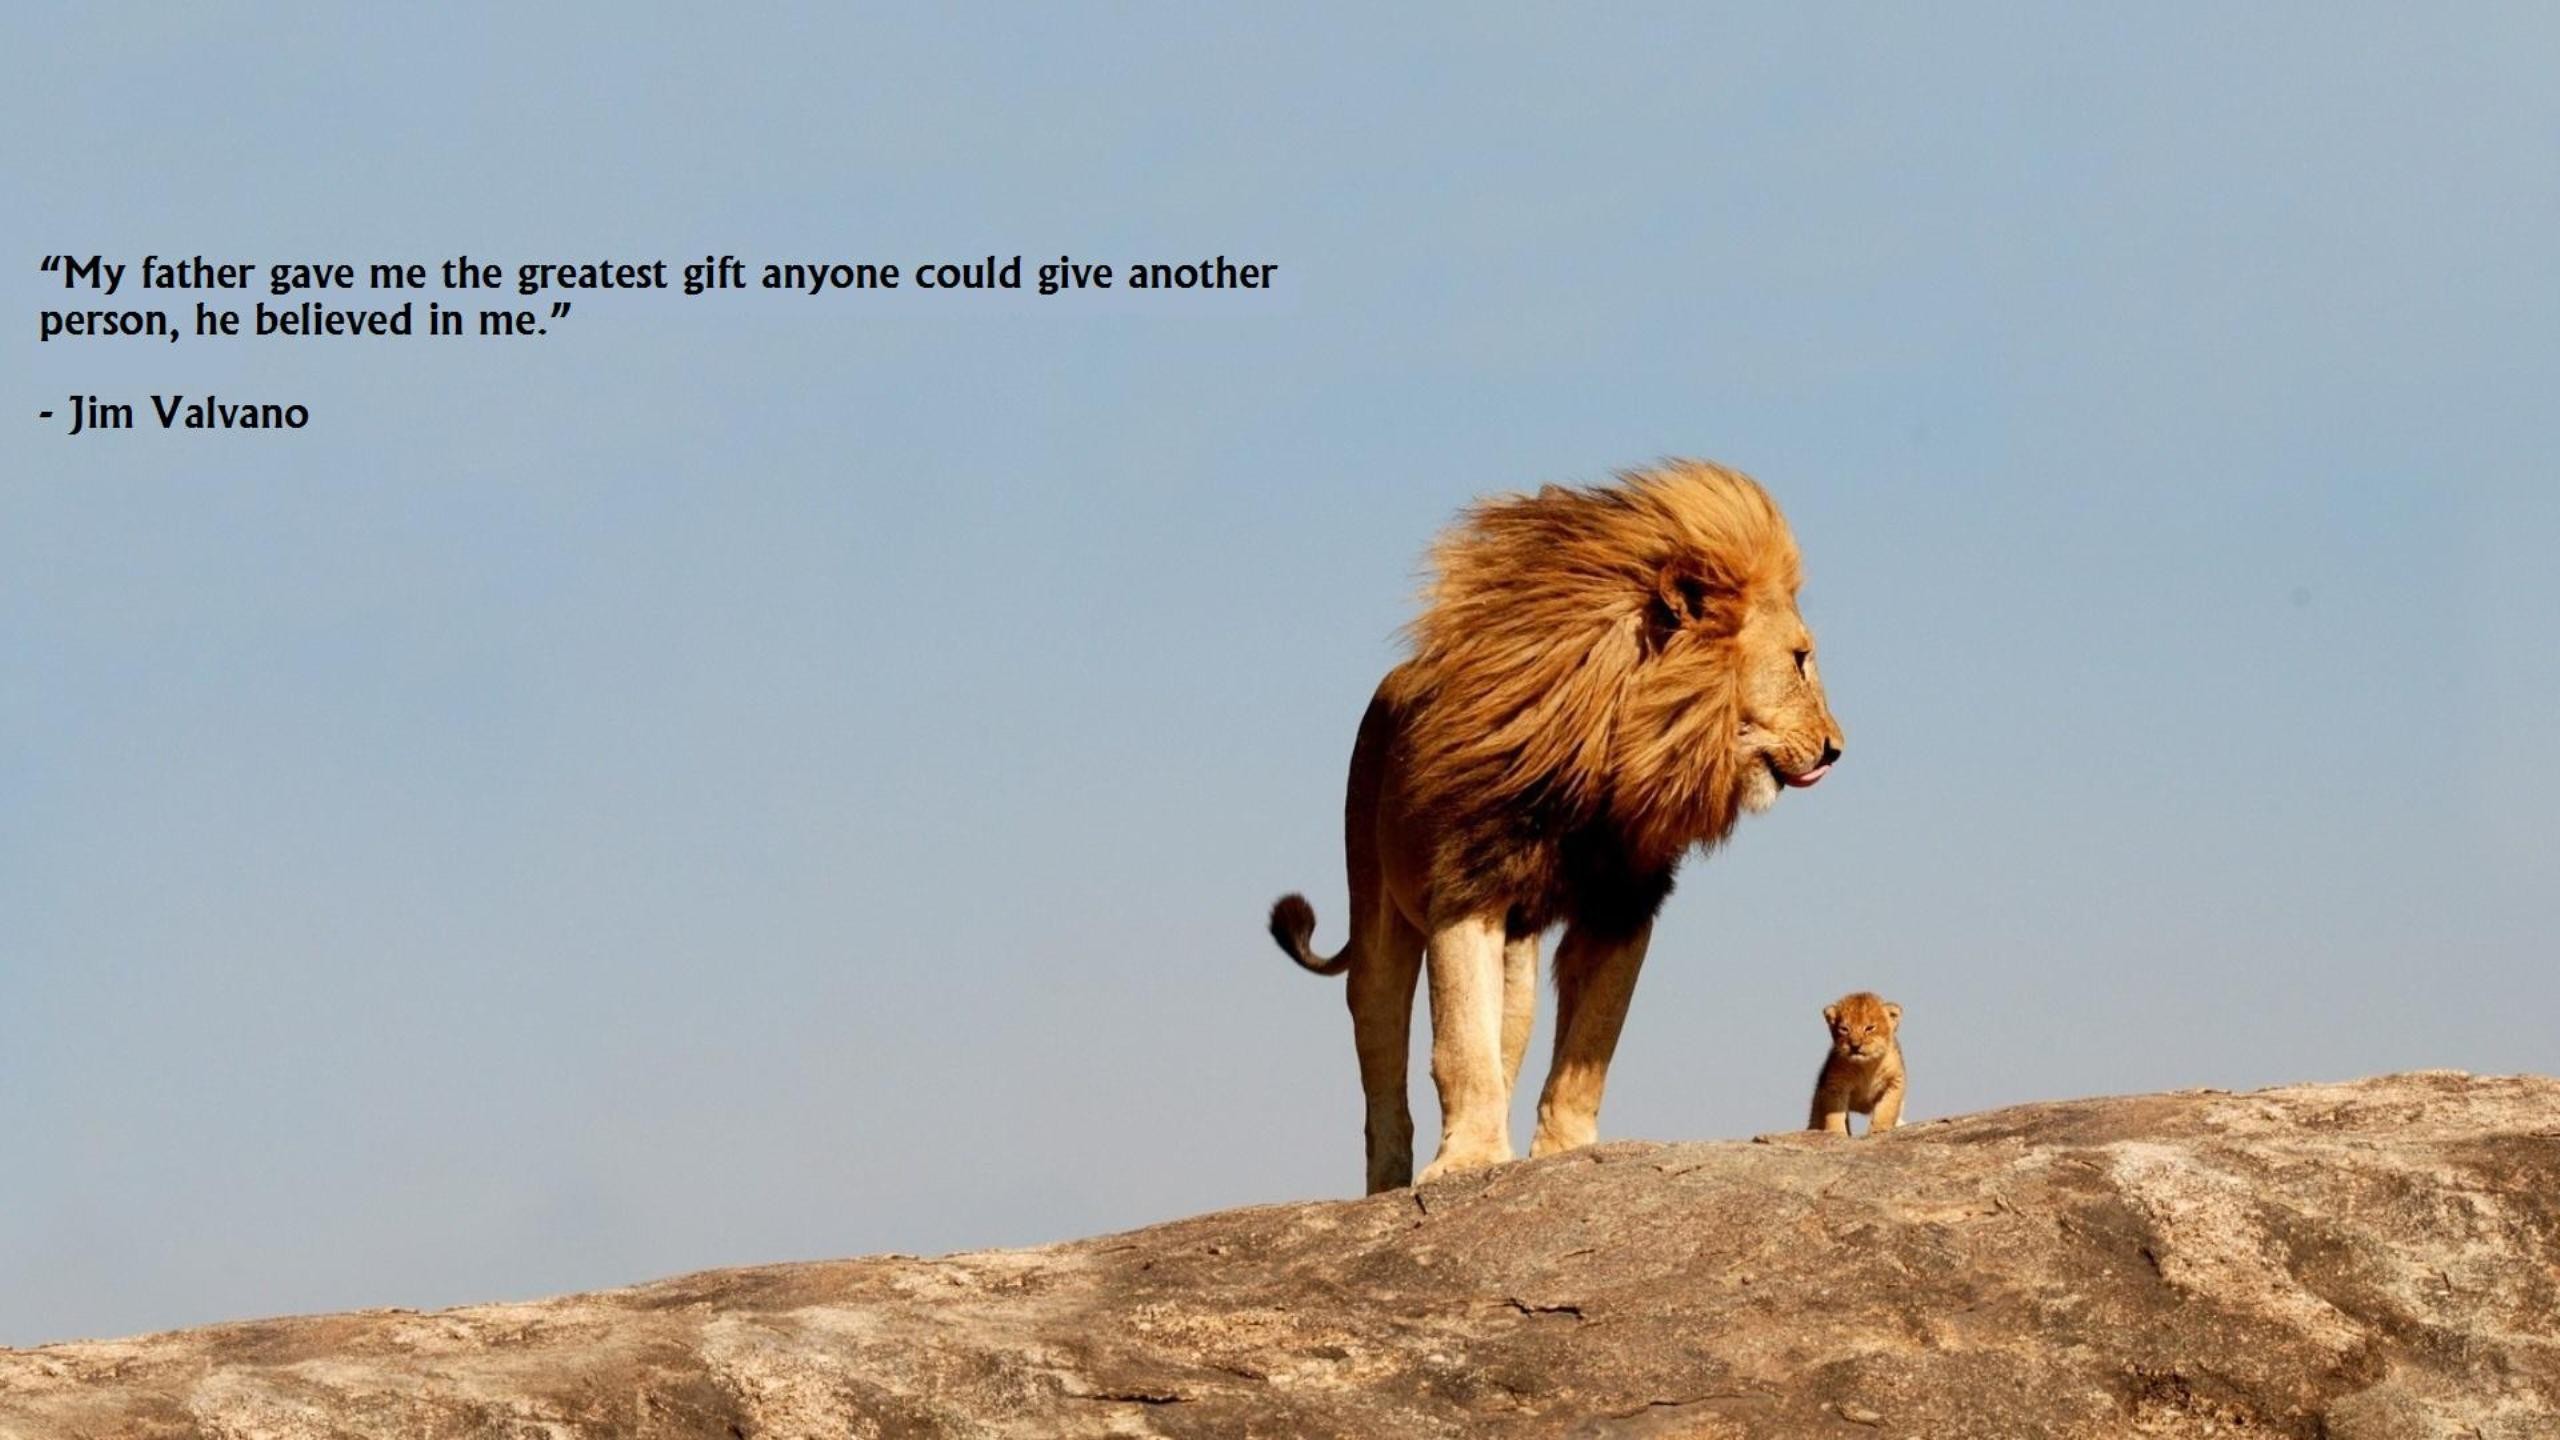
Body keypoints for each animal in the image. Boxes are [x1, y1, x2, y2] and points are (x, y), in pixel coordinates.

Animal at [1268, 459, 1844, 1193]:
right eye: (1800, 659)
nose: (1836, 749)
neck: (1610, 752)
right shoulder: (1466, 889)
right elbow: (1460, 1044)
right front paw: (1469, 1161)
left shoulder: (1623, 905)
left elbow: (1588, 1049)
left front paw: (1562, 1153)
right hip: (1376, 920)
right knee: (1383, 1068)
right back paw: (1390, 1183)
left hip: (1518, 961)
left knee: (1507, 1038)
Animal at [1809, 991, 1905, 1135]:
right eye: (1844, 1029)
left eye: (1869, 1028)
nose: (1855, 1046)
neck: (1866, 1066)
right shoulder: (1835, 1084)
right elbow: (1834, 1114)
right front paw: (1837, 1132)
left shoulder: (1894, 1081)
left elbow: (1887, 1108)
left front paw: (1879, 1129)